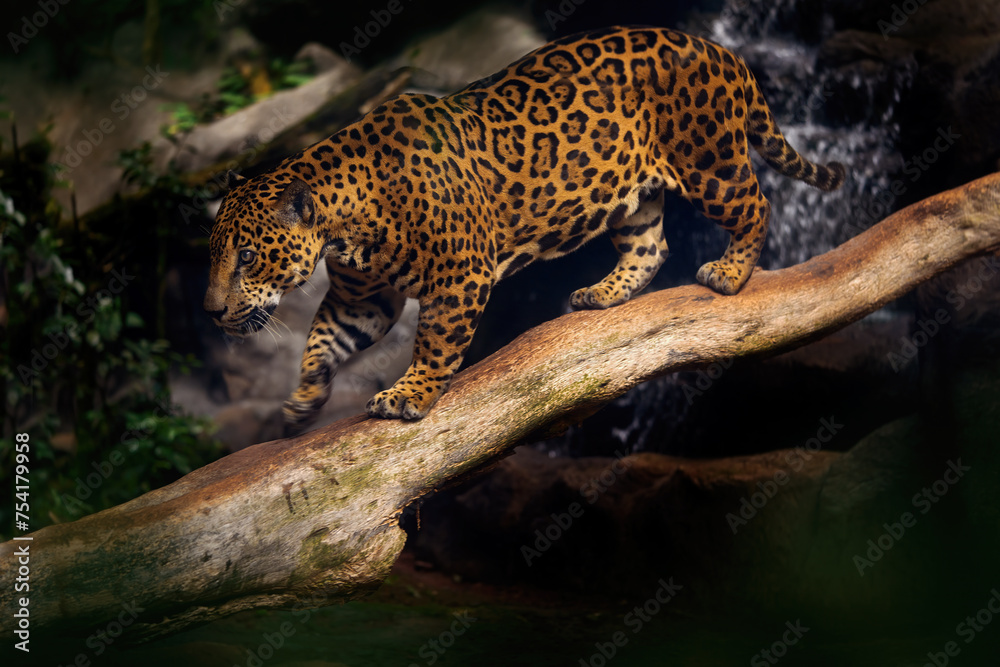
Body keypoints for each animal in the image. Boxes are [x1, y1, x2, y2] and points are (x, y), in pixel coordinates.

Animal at [204, 26, 846, 432]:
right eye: (215, 253)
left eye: (247, 256)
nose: (210, 312)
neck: (346, 223)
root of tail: (719, 49)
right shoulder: (363, 298)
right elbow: (321, 344)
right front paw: (301, 405)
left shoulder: (458, 278)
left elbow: (433, 341)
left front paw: (410, 395)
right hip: (630, 194)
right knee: (651, 244)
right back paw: (602, 294)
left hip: (709, 162)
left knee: (757, 204)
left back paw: (730, 274)